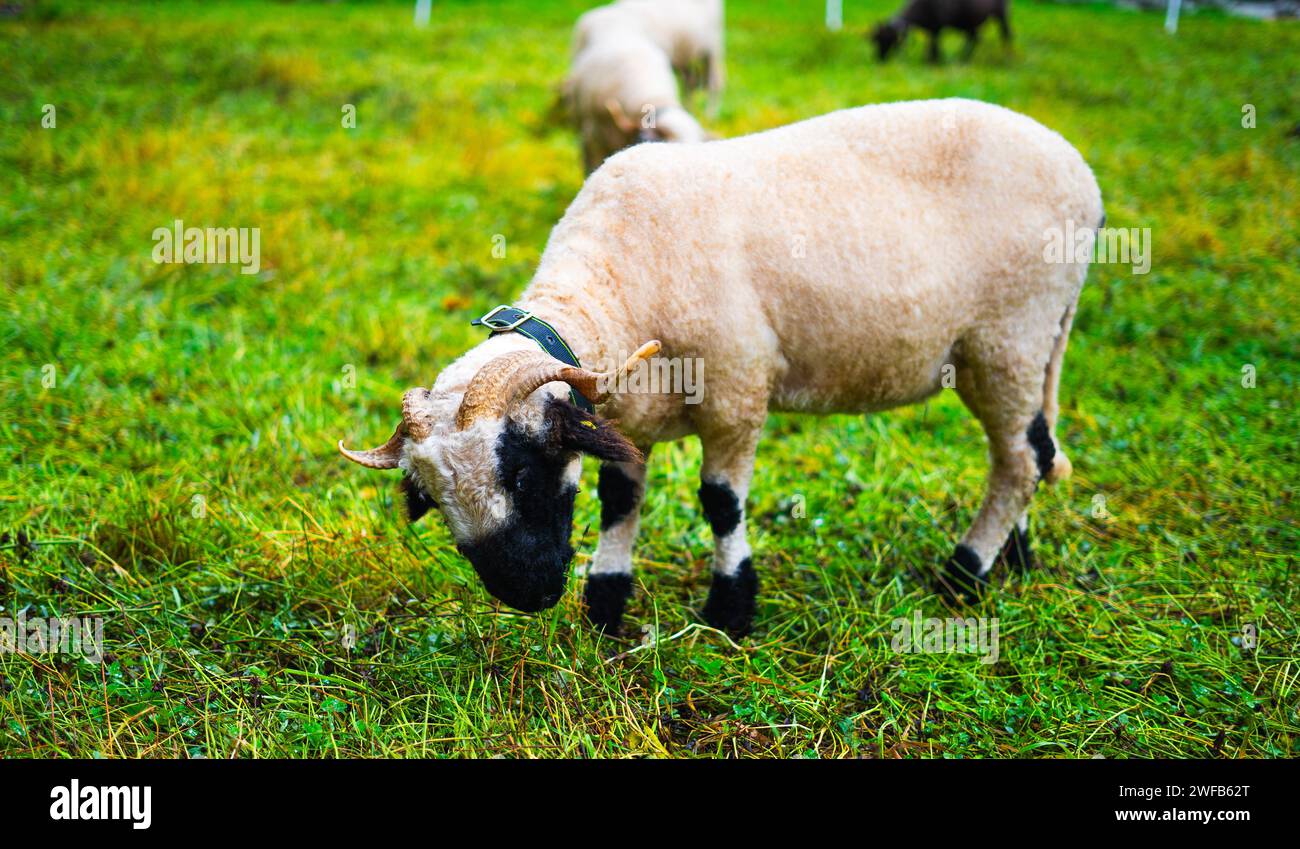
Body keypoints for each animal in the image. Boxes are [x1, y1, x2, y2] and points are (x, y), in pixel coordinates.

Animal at [339, 98, 1103, 637]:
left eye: (523, 472)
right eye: (434, 500)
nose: (529, 596)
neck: (618, 289)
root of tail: (1082, 175)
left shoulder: (736, 394)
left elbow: (720, 502)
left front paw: (730, 610)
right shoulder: (630, 417)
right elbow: (620, 499)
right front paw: (605, 603)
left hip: (1010, 334)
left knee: (1017, 459)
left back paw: (963, 574)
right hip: (1032, 343)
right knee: (1031, 449)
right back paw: (1012, 556)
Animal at [574, 0, 725, 112]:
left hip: (713, 48)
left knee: (715, 81)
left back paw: (710, 113)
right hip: (684, 55)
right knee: (691, 82)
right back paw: (689, 108)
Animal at [870, 0, 1012, 63]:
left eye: (889, 39)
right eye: (877, 39)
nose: (880, 58)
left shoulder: (937, 28)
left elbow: (934, 45)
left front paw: (934, 61)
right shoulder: (932, 29)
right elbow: (930, 45)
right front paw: (929, 59)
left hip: (1001, 14)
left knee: (1006, 34)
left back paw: (1006, 55)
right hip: (970, 23)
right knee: (975, 39)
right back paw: (963, 58)